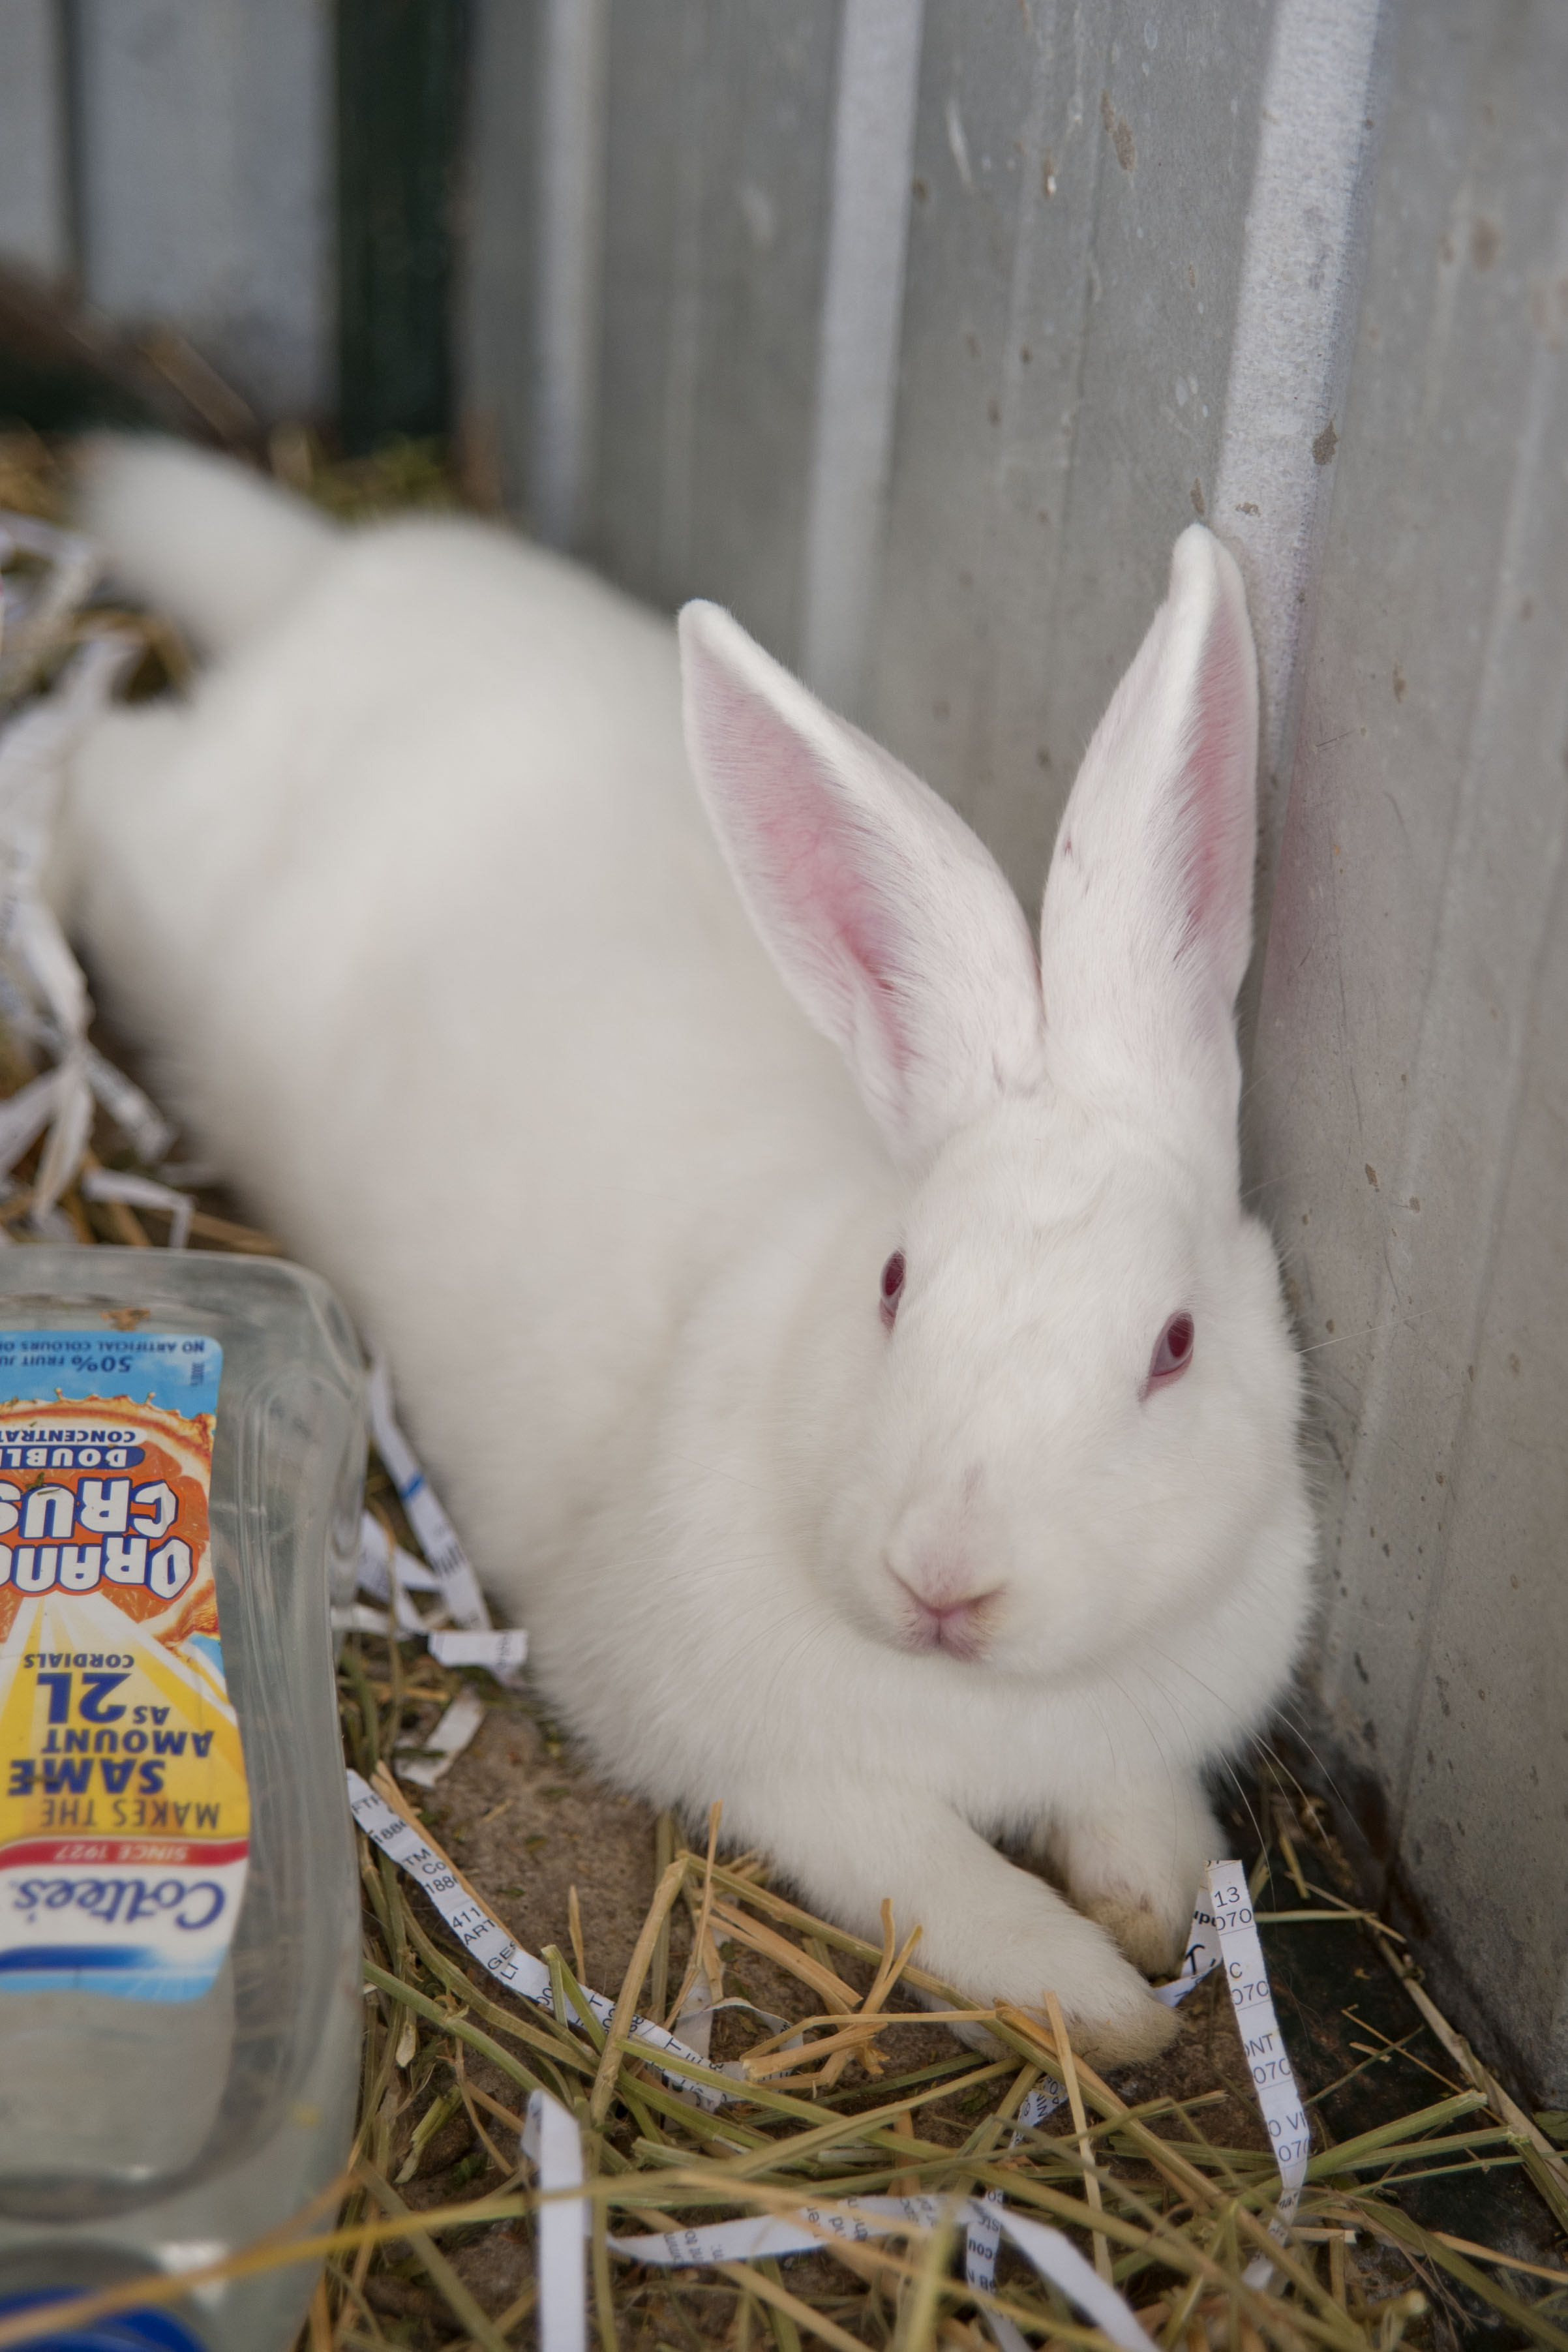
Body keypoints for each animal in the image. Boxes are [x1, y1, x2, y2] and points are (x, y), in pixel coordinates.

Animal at [55, 436, 1314, 2065]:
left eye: (1171, 1346)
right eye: (895, 1287)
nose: (942, 1579)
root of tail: (330, 589)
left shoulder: (1142, 1722)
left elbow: (1144, 1824)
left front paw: (1150, 1923)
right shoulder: (780, 1771)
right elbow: (936, 1886)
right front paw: (1096, 2005)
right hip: (158, 854)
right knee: (85, 761)